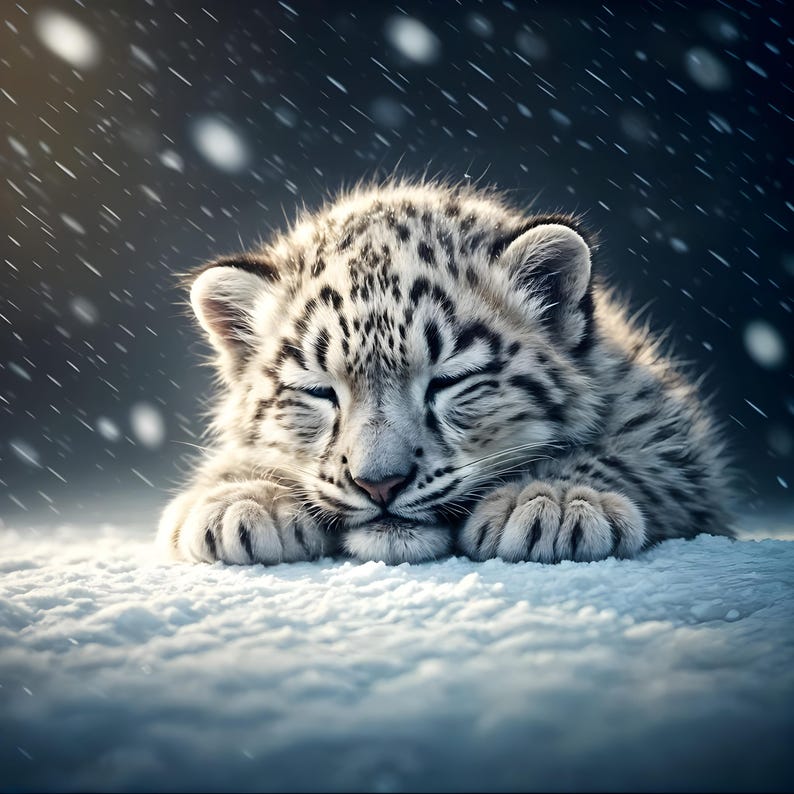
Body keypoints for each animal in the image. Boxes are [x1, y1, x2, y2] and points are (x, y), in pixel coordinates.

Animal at [157, 179, 733, 566]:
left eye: (447, 381)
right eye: (319, 392)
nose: (380, 484)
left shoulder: (669, 432)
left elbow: (633, 453)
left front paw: (552, 500)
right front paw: (239, 502)